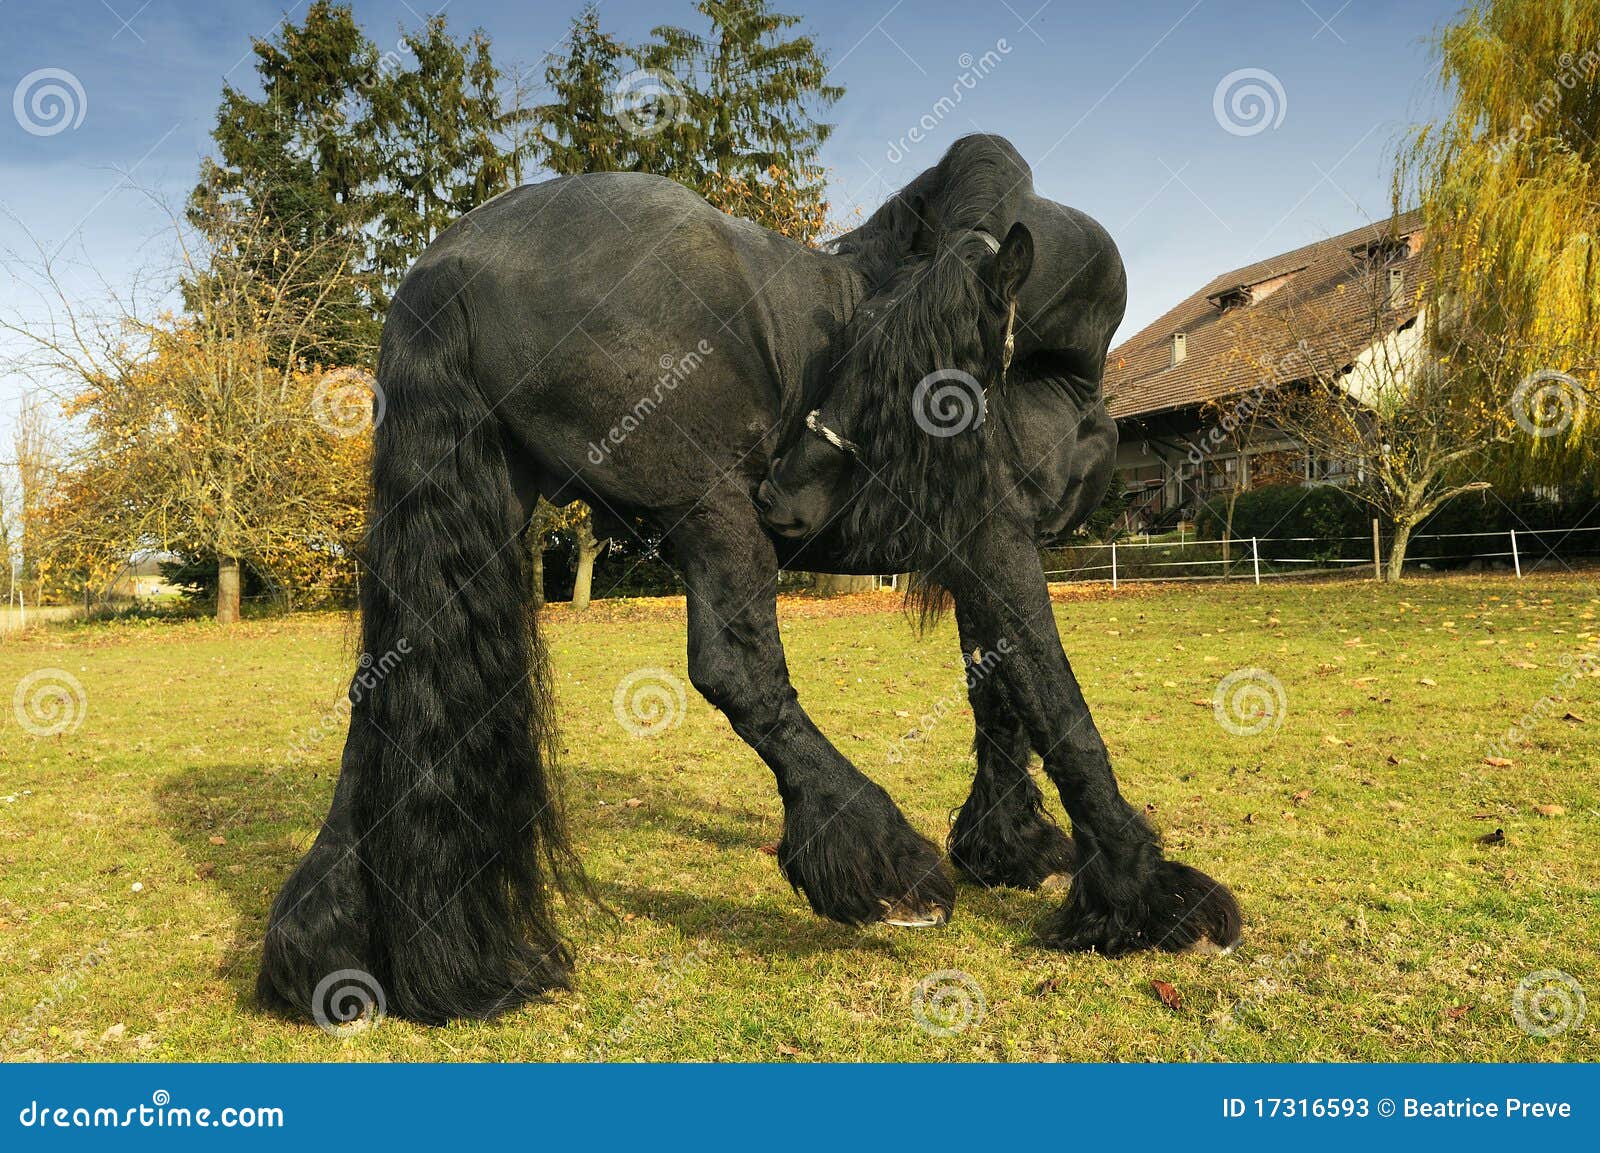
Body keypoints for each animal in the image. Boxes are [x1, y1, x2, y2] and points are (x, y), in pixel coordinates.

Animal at [257, 134, 1241, 1026]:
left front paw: (1010, 845)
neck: (1055, 372)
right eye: (857, 352)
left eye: (919, 380)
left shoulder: (973, 542)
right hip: (705, 504)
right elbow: (1053, 691)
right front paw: (1145, 892)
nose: (788, 497)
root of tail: (450, 262)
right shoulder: (997, 535)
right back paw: (887, 865)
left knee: (386, 703)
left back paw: (329, 954)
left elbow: (1001, 691)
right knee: (734, 668)